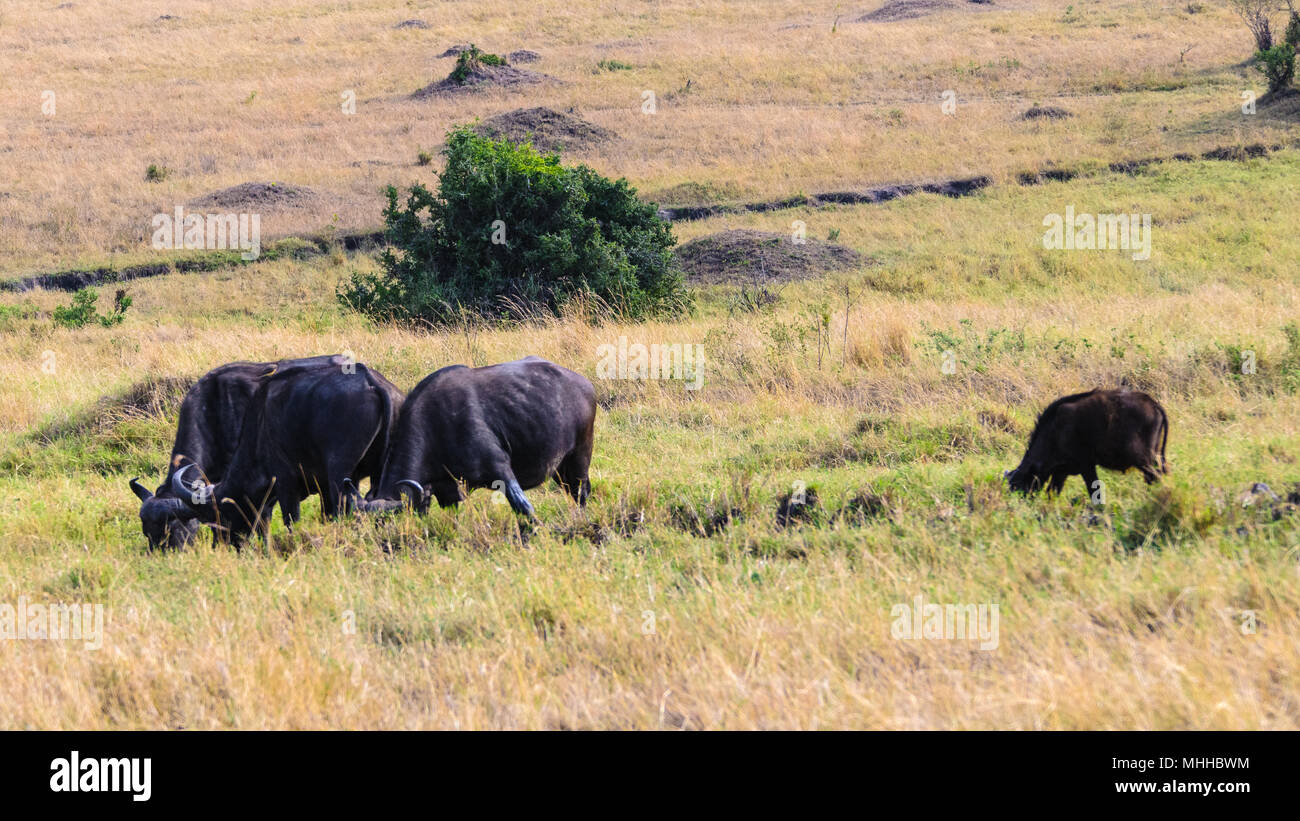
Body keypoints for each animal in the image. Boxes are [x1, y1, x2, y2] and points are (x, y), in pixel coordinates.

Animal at [161, 355, 402, 546]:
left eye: (222, 514)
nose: (224, 543)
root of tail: (372, 382)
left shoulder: (285, 482)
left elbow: (289, 520)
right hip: (379, 472)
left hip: (339, 472)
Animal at [349, 356, 596, 519]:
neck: (438, 427)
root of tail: (584, 384)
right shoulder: (446, 490)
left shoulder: (502, 471)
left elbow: (523, 507)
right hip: (559, 469)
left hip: (580, 456)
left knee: (581, 492)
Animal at [1005, 389, 1168, 496]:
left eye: (1019, 485)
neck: (1055, 429)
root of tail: (1154, 404)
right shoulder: (1061, 472)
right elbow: (1053, 492)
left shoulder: (1086, 467)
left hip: (1144, 461)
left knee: (1155, 477)